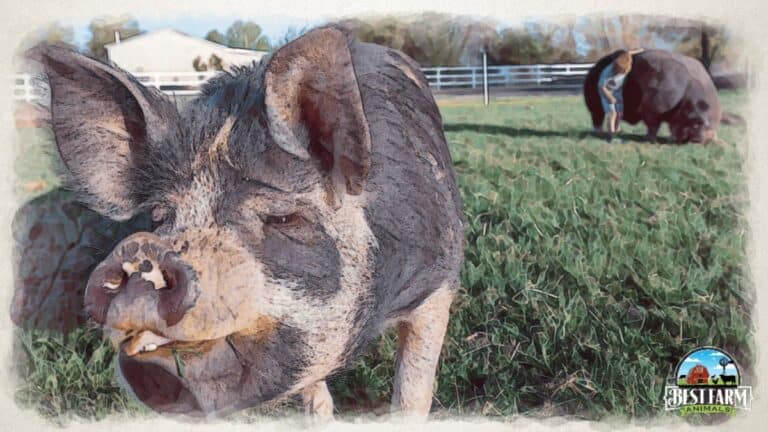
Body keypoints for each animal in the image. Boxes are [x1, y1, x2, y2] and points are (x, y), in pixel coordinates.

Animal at [25, 26, 464, 418]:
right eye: (160, 216)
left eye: (283, 217)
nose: (143, 254)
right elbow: (312, 396)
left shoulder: (439, 281)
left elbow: (411, 391)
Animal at [583, 49, 723, 143]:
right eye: (696, 124)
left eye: (705, 124)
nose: (699, 140)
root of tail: (593, 68)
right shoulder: (652, 109)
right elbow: (653, 126)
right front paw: (651, 141)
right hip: (594, 104)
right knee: (598, 117)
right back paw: (600, 133)